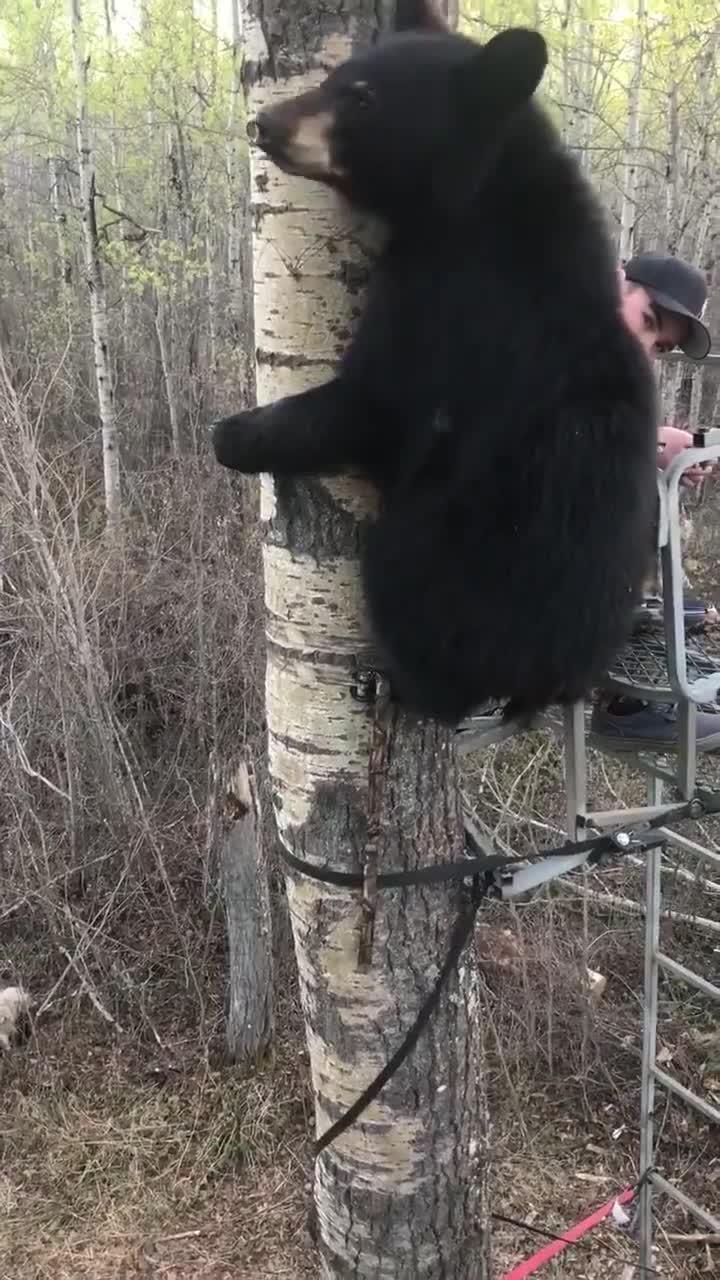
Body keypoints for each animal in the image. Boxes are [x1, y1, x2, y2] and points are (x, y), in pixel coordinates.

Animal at [211, 0, 658, 728]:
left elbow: (372, 400)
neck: (479, 197)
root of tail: (552, 681)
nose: (265, 123)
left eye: (360, 97)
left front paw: (233, 434)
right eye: (333, 78)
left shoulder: (454, 304)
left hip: (445, 553)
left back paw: (395, 681)